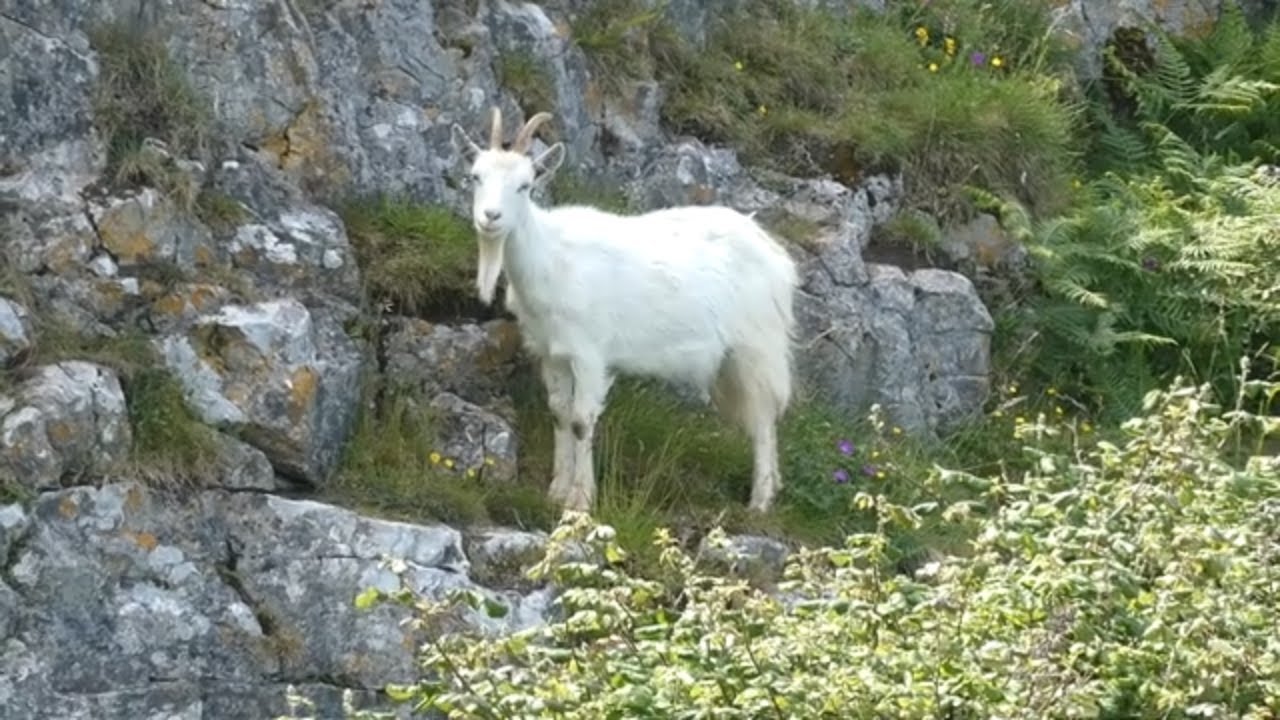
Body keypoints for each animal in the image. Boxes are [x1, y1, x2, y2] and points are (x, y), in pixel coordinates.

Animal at [450, 108, 799, 513]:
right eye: (475, 176)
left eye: (525, 185)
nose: (490, 217)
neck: (551, 257)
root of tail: (777, 256)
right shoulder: (551, 352)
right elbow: (560, 414)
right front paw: (556, 490)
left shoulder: (589, 353)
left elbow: (582, 420)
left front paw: (581, 499)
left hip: (757, 346)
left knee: (763, 418)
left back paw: (759, 501)